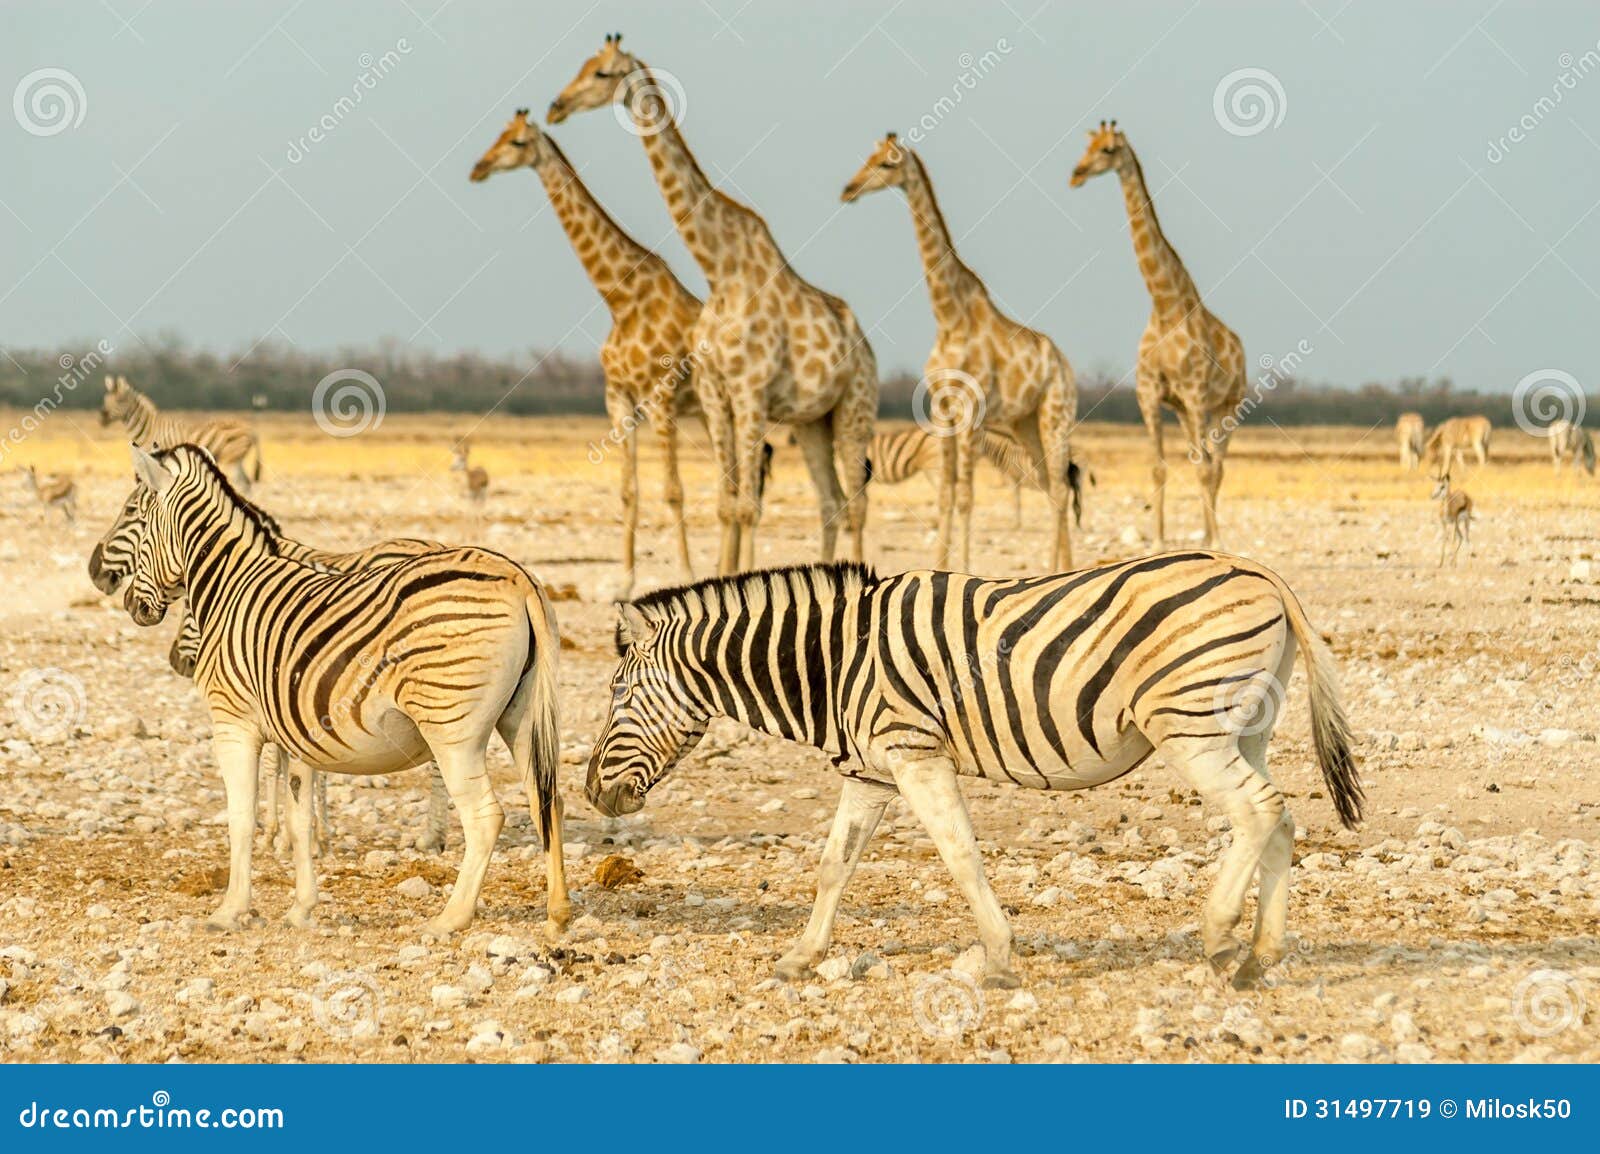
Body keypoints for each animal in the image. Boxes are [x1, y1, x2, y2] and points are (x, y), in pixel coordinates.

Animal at [472, 109, 702, 596]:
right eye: (498, 134)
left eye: (517, 142)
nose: (478, 168)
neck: (623, 299)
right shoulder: (620, 400)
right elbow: (629, 492)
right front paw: (625, 584)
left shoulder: (662, 398)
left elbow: (673, 490)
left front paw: (688, 575)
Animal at [548, 34, 878, 574]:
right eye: (582, 64)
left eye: (601, 73)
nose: (556, 106)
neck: (719, 270)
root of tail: (866, 344)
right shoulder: (715, 395)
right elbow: (727, 504)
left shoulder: (749, 393)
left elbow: (747, 506)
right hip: (813, 421)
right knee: (830, 500)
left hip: (855, 407)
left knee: (856, 501)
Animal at [843, 134, 1075, 570]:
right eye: (868, 155)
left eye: (888, 163)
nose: (849, 190)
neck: (949, 317)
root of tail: (1066, 367)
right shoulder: (941, 408)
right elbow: (945, 497)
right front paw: (940, 565)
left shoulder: (970, 411)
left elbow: (966, 497)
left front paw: (965, 570)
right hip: (1025, 423)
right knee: (1051, 486)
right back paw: (1060, 570)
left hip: (1056, 416)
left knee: (1061, 487)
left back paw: (1061, 570)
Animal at [1071, 121, 1246, 547]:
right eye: (1087, 146)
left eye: (1109, 150)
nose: (1076, 175)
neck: (1166, 309)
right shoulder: (1150, 396)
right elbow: (1158, 467)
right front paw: (1160, 540)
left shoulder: (1197, 395)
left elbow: (1203, 469)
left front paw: (1215, 541)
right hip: (1185, 411)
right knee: (1206, 461)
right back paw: (1204, 534)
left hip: (1227, 406)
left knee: (1216, 466)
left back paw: (1213, 536)